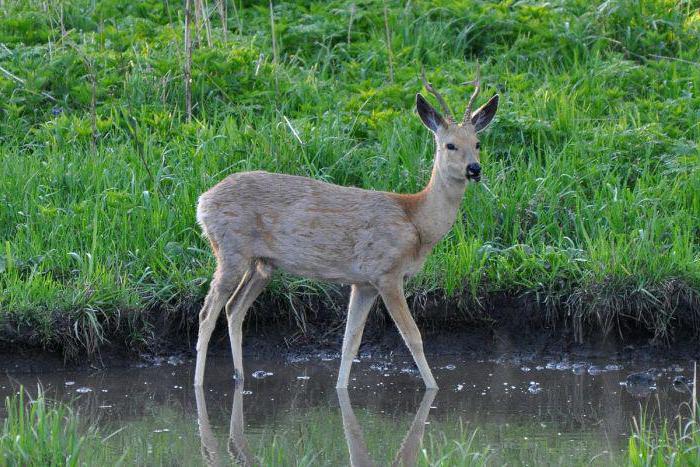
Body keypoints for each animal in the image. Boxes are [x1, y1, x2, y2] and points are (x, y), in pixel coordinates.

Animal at [193, 64, 498, 390]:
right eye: (449, 145)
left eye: (477, 144)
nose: (475, 169)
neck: (417, 221)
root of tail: (202, 203)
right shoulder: (386, 273)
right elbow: (413, 337)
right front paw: (434, 388)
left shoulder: (363, 283)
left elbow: (350, 341)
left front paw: (341, 388)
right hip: (230, 250)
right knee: (207, 312)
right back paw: (198, 383)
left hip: (262, 264)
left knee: (234, 309)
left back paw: (240, 377)